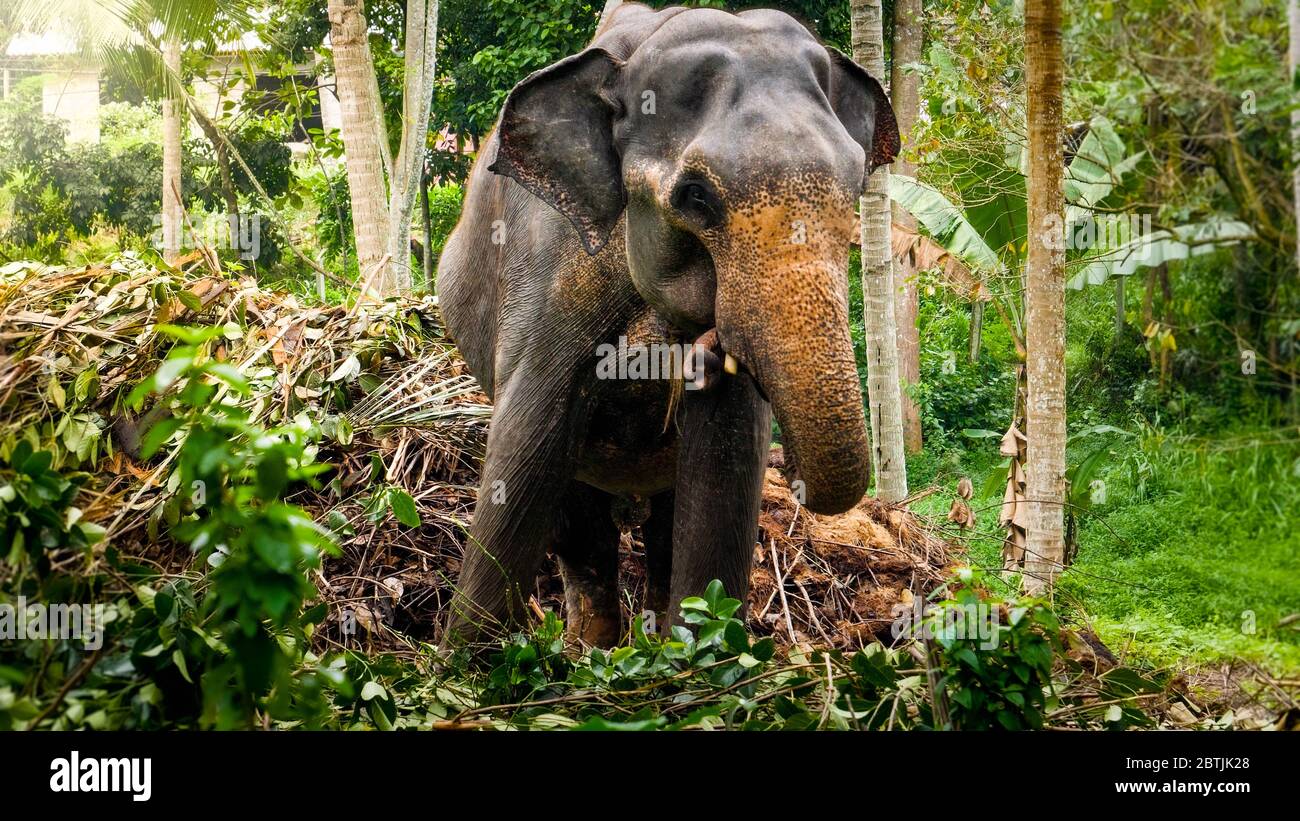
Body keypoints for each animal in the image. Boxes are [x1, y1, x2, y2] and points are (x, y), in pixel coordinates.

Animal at [436, 2, 898, 646]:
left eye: (857, 184)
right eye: (696, 196)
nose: (700, 352)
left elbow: (727, 467)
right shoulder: (547, 267)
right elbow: (526, 450)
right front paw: (462, 664)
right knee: (578, 518)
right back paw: (594, 648)